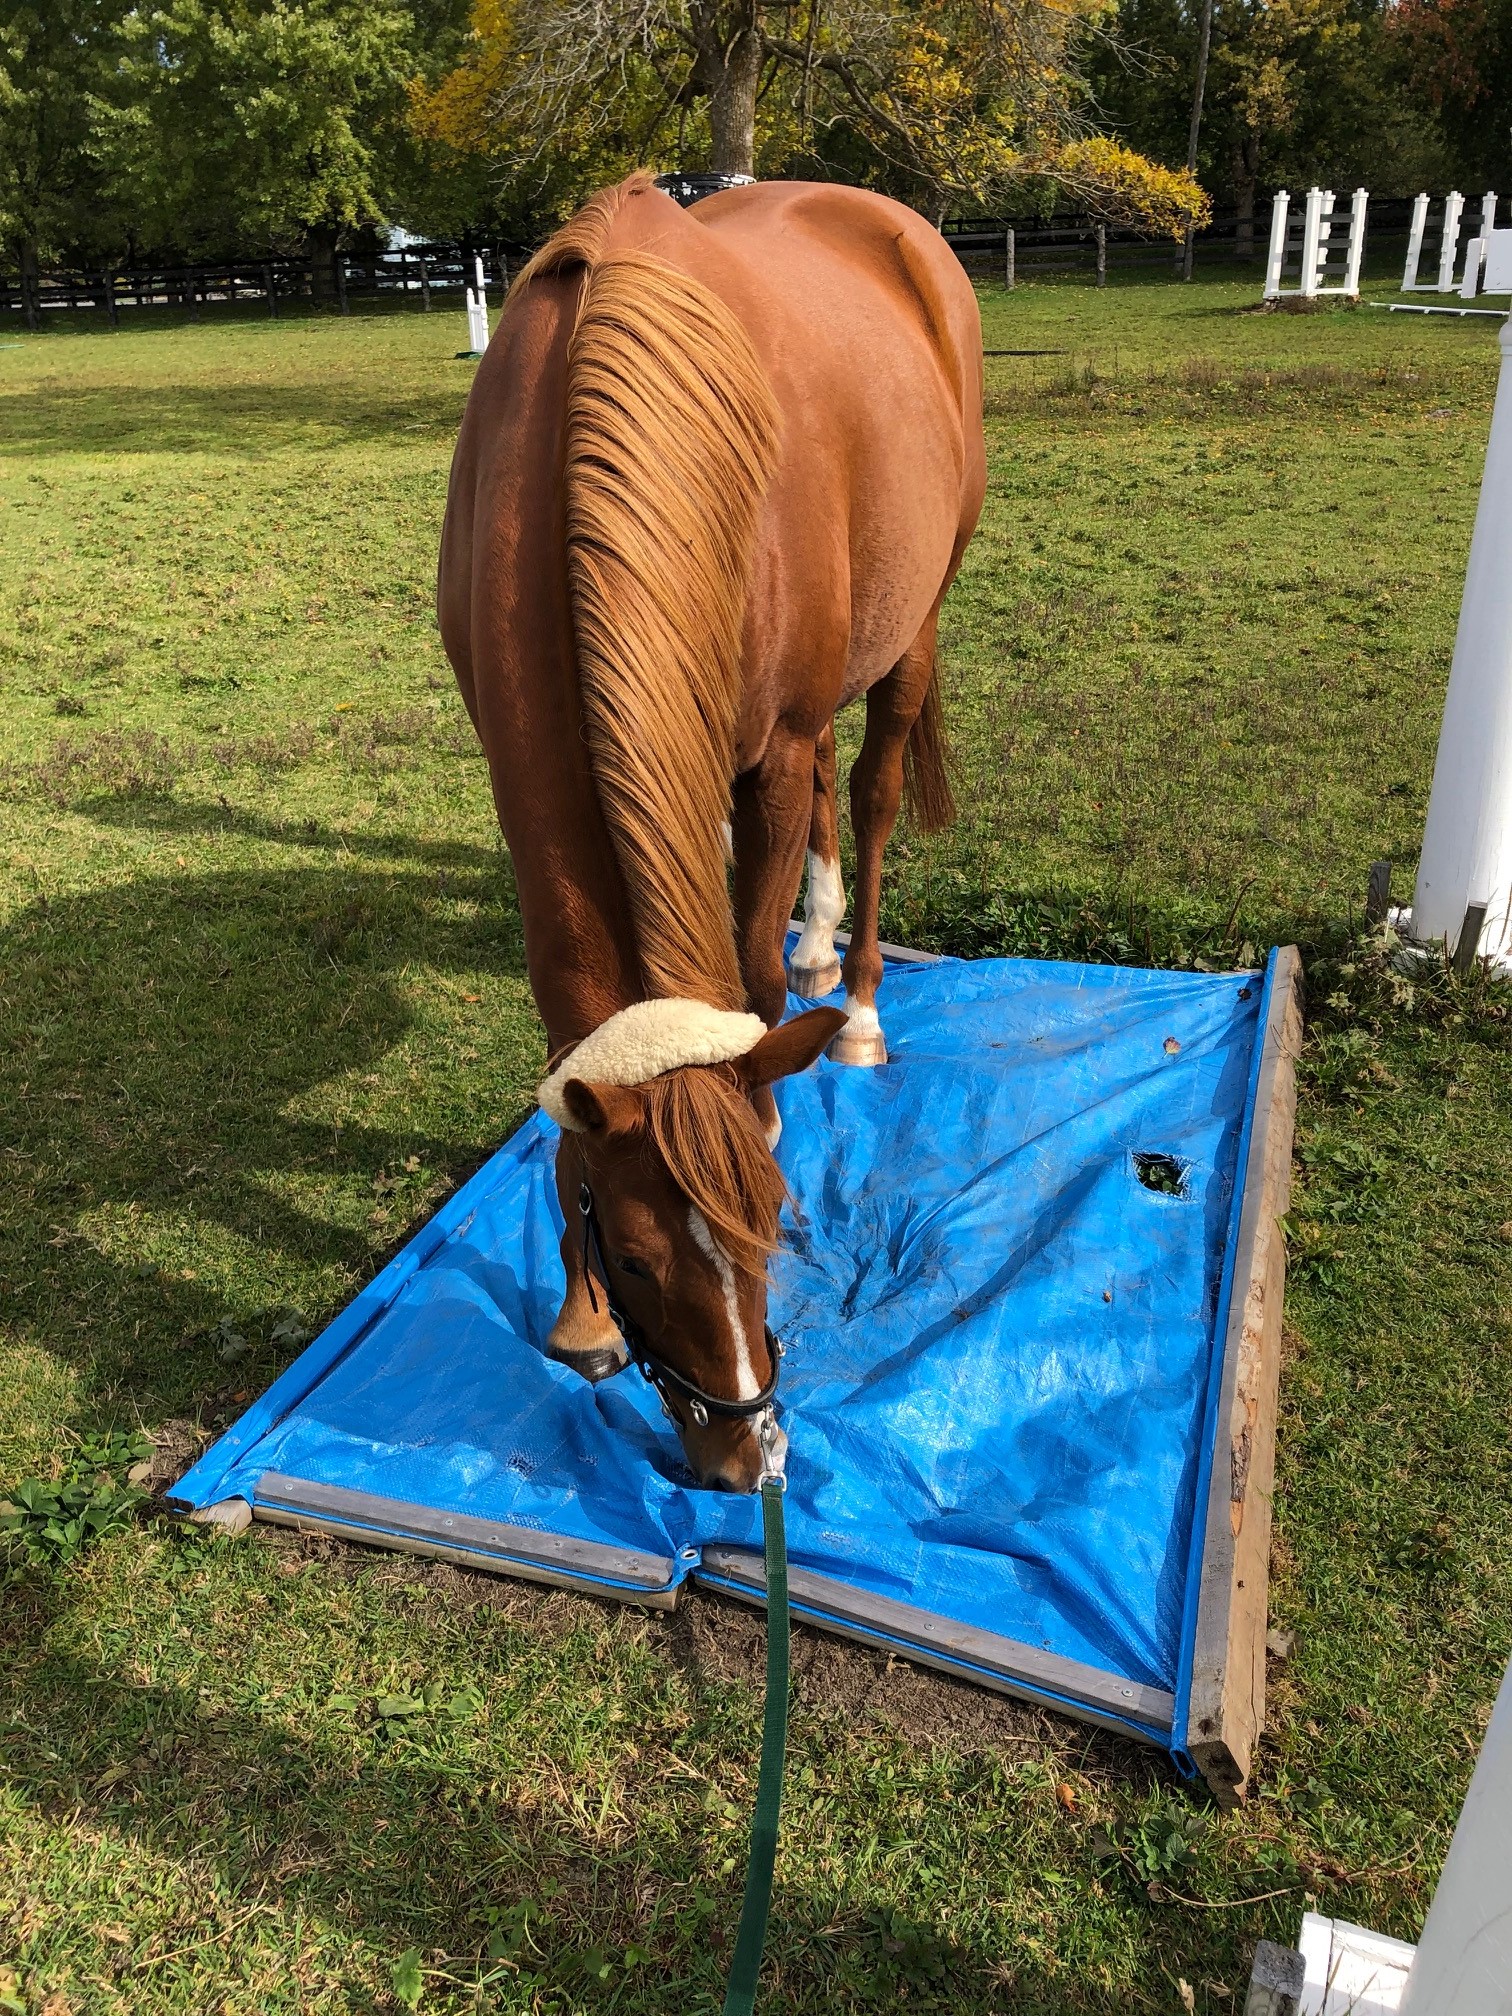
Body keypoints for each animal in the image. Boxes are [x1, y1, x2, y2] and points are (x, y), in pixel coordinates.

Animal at [438, 172, 985, 1490]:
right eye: (635, 1258)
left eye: (771, 1228)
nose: (750, 1459)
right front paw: (577, 1316)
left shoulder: (769, 757)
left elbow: (745, 978)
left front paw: (785, 1087)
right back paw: (821, 948)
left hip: (915, 623)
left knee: (872, 790)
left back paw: (860, 1008)